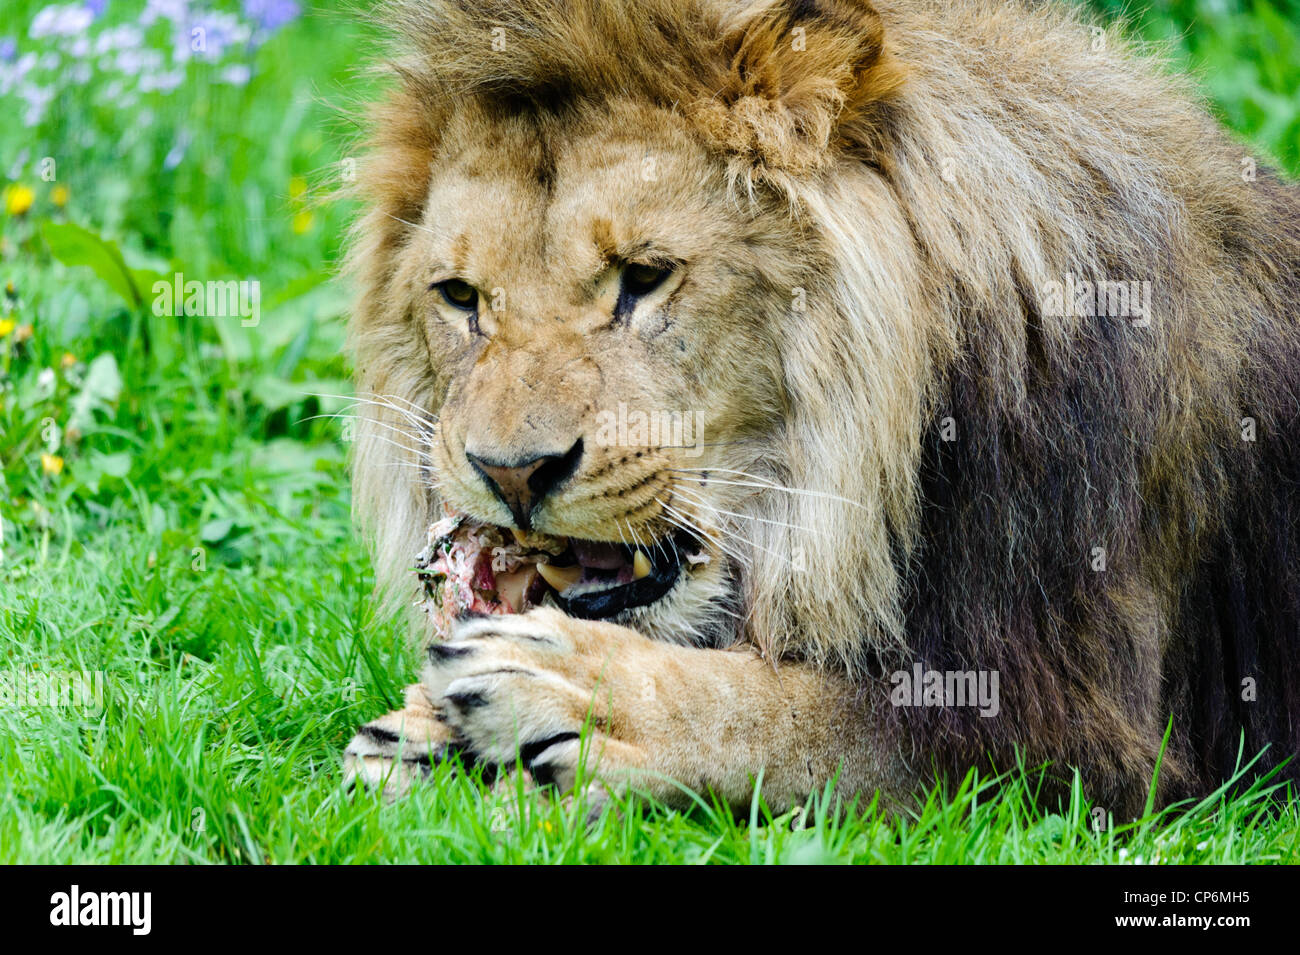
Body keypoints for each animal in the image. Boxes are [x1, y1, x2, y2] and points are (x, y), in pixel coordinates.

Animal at [341, 0, 1300, 819]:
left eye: (644, 277)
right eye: (460, 297)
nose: (510, 474)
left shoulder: (1083, 739)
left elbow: (796, 712)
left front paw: (571, 692)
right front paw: (420, 733)